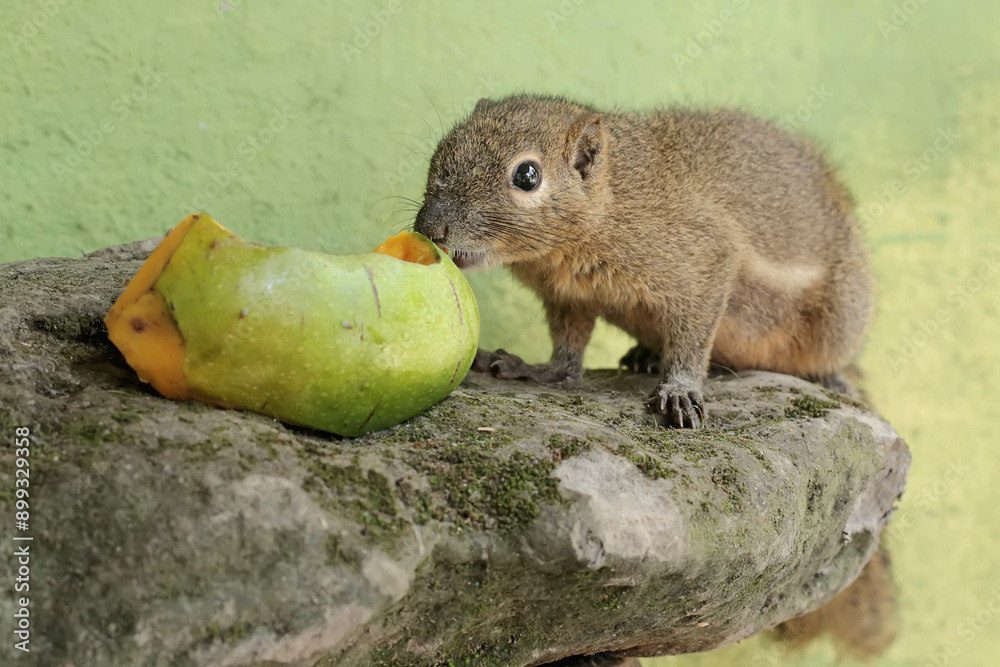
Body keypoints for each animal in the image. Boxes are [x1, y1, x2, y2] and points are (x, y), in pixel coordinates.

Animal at [413, 95, 873, 428]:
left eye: (527, 175)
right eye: (440, 151)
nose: (429, 227)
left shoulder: (706, 261)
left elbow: (691, 342)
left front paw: (680, 391)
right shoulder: (569, 298)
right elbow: (568, 354)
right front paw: (533, 369)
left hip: (839, 323)